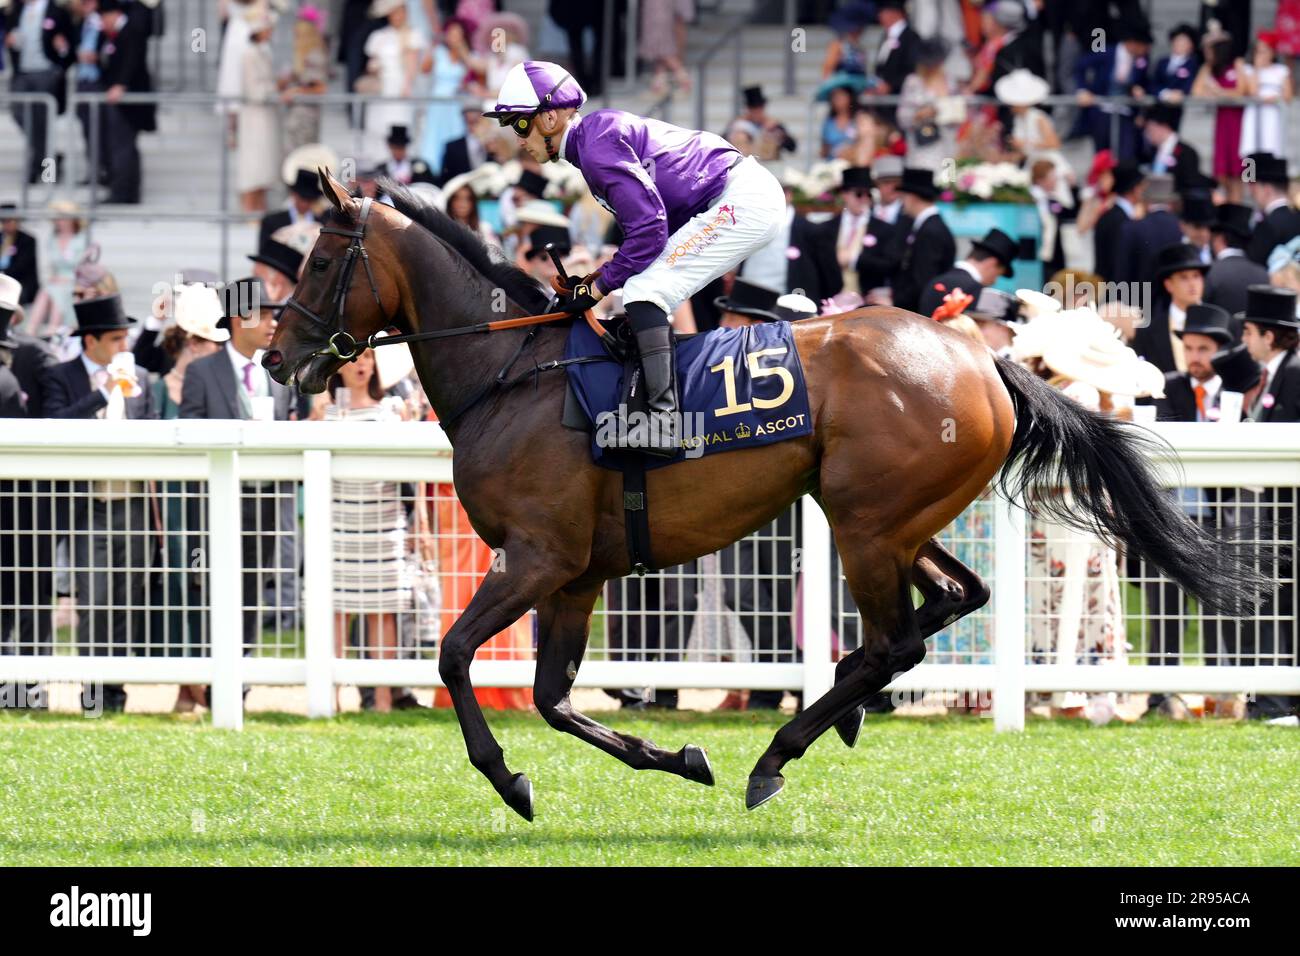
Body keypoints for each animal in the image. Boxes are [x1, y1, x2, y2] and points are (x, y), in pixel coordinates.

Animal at [264, 171, 1263, 819]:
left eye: (316, 263)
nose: (276, 359)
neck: (513, 371)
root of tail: (986, 359)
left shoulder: (537, 557)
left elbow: (454, 655)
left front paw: (509, 781)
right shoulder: (577, 573)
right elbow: (551, 696)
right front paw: (679, 756)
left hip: (866, 525)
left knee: (898, 638)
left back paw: (784, 749)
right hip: (892, 518)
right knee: (955, 598)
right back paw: (835, 714)